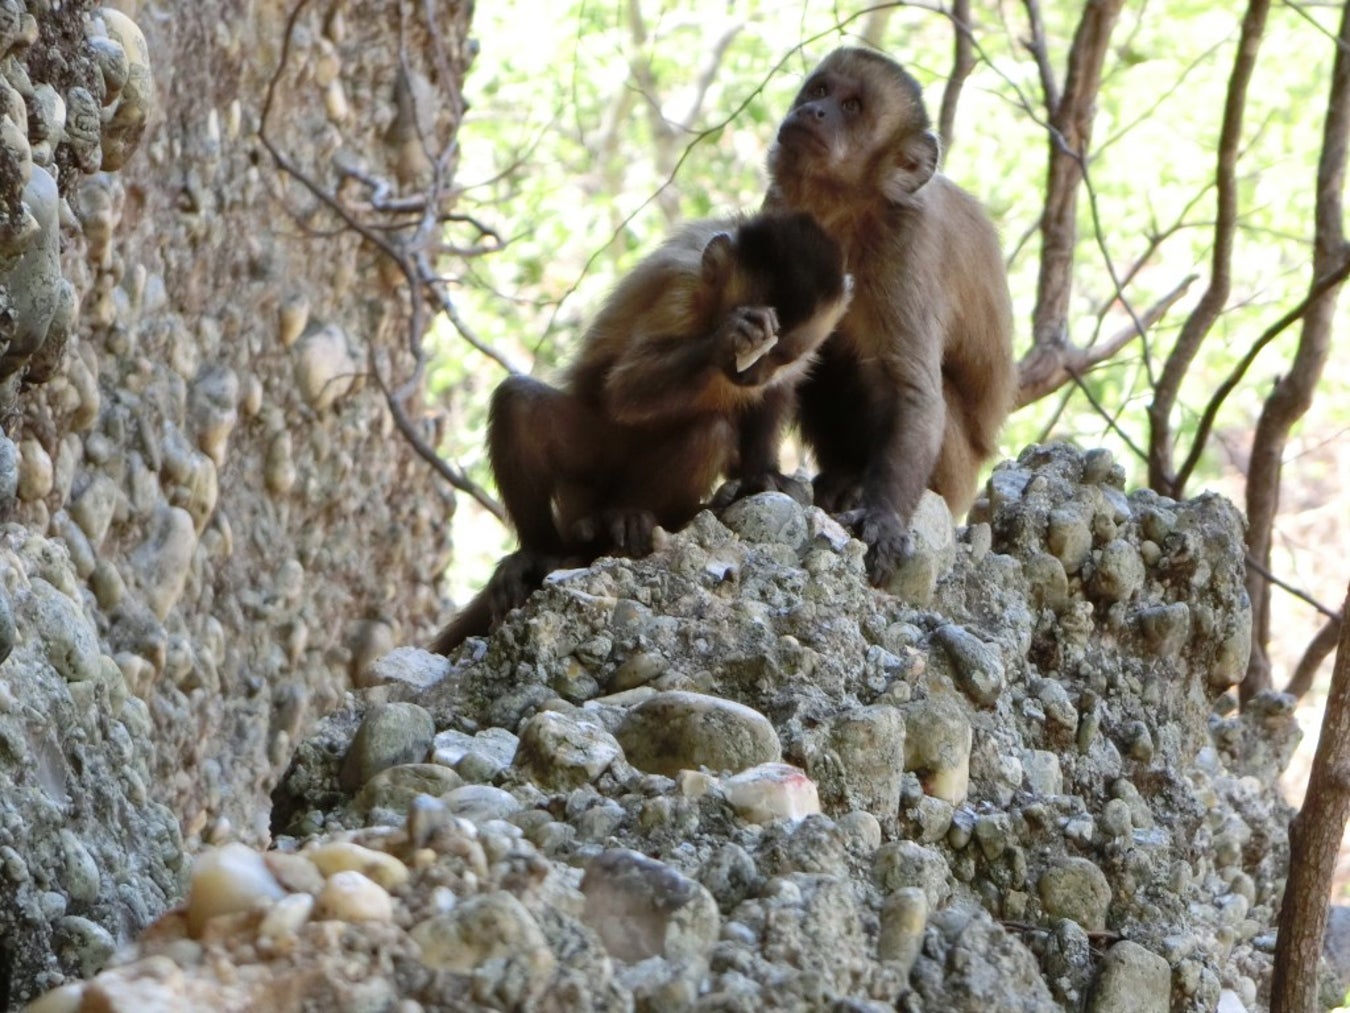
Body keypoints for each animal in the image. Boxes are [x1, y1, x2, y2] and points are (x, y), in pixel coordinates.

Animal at [430, 210, 854, 654]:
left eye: (781, 355)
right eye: (754, 347)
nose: (751, 374)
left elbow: (776, 393)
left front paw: (762, 475)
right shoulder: (680, 287)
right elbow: (624, 389)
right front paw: (727, 337)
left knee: (709, 433)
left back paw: (639, 517)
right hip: (588, 476)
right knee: (520, 403)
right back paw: (545, 552)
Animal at [762, 46, 1016, 587]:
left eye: (852, 107)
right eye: (820, 91)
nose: (814, 111)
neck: (847, 215)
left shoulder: (906, 246)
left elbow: (912, 389)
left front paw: (883, 517)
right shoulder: (781, 213)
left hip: (956, 475)